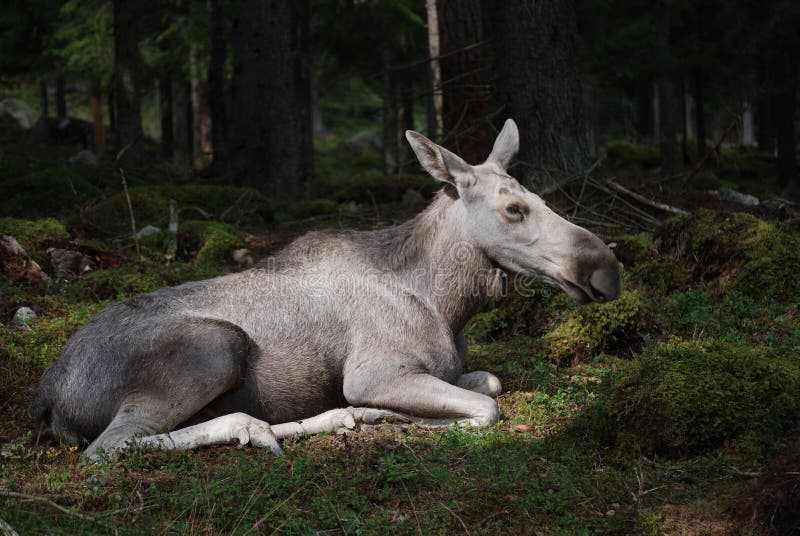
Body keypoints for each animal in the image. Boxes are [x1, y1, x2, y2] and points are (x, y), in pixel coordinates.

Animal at [29, 119, 621, 460]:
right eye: (515, 208)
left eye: (538, 198)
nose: (606, 271)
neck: (448, 303)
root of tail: (49, 392)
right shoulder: (374, 373)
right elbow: (486, 408)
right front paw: (383, 416)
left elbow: (491, 383)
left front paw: (365, 416)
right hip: (215, 346)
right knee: (108, 449)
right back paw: (256, 428)